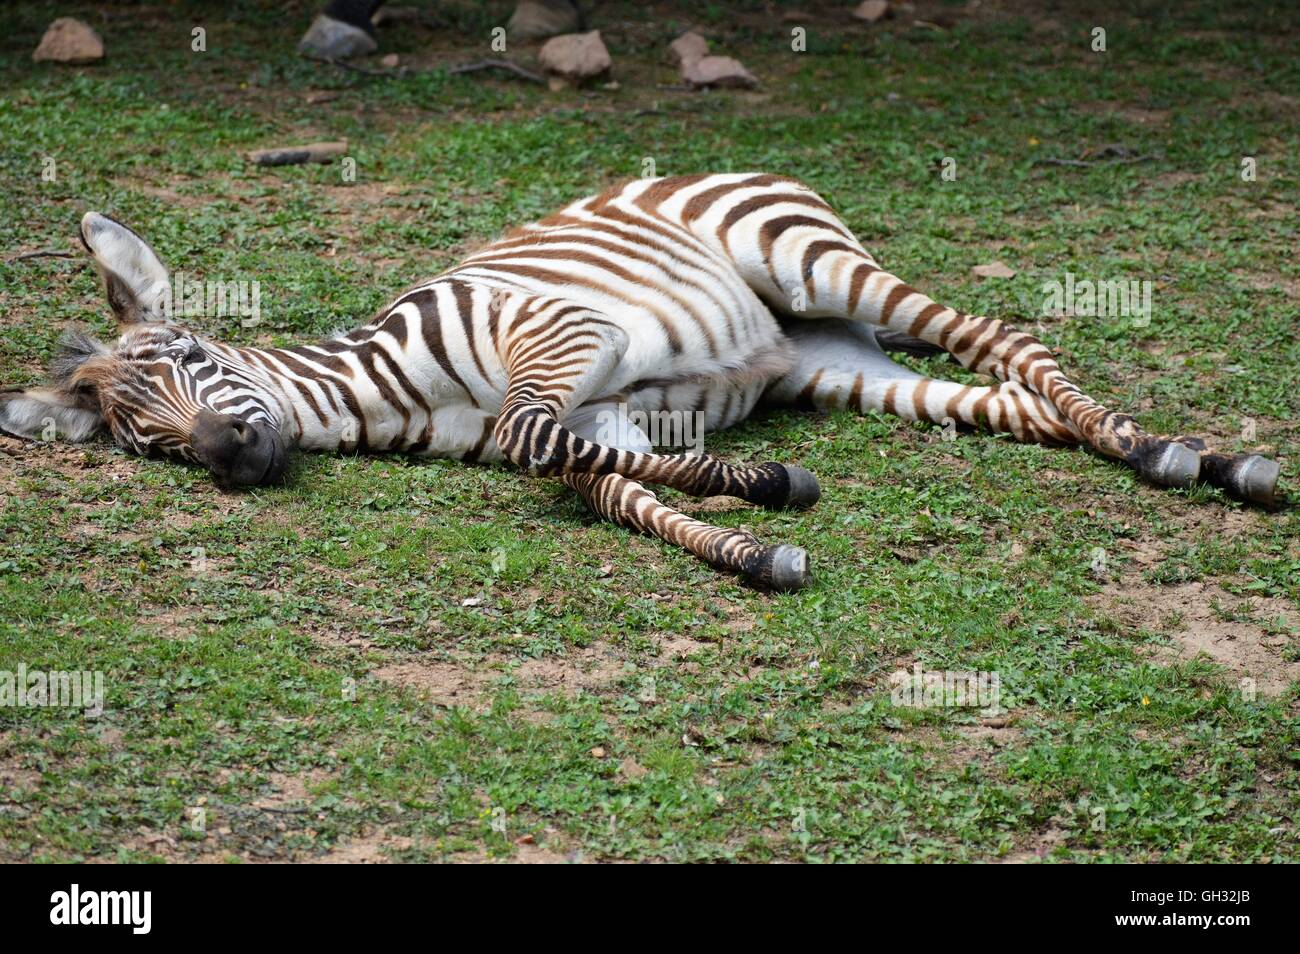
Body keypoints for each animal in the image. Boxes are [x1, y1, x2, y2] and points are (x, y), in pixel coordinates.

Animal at [0, 174, 1280, 590]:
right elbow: (615, 487)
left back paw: (1157, 451)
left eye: (191, 361)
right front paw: (753, 518)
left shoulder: (562, 339)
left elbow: (535, 438)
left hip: (813, 264)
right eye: (152, 446)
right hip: (837, 365)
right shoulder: (609, 415)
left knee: (1011, 345)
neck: (388, 390)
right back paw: (1195, 457)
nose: (229, 460)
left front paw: (756, 492)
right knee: (1007, 401)